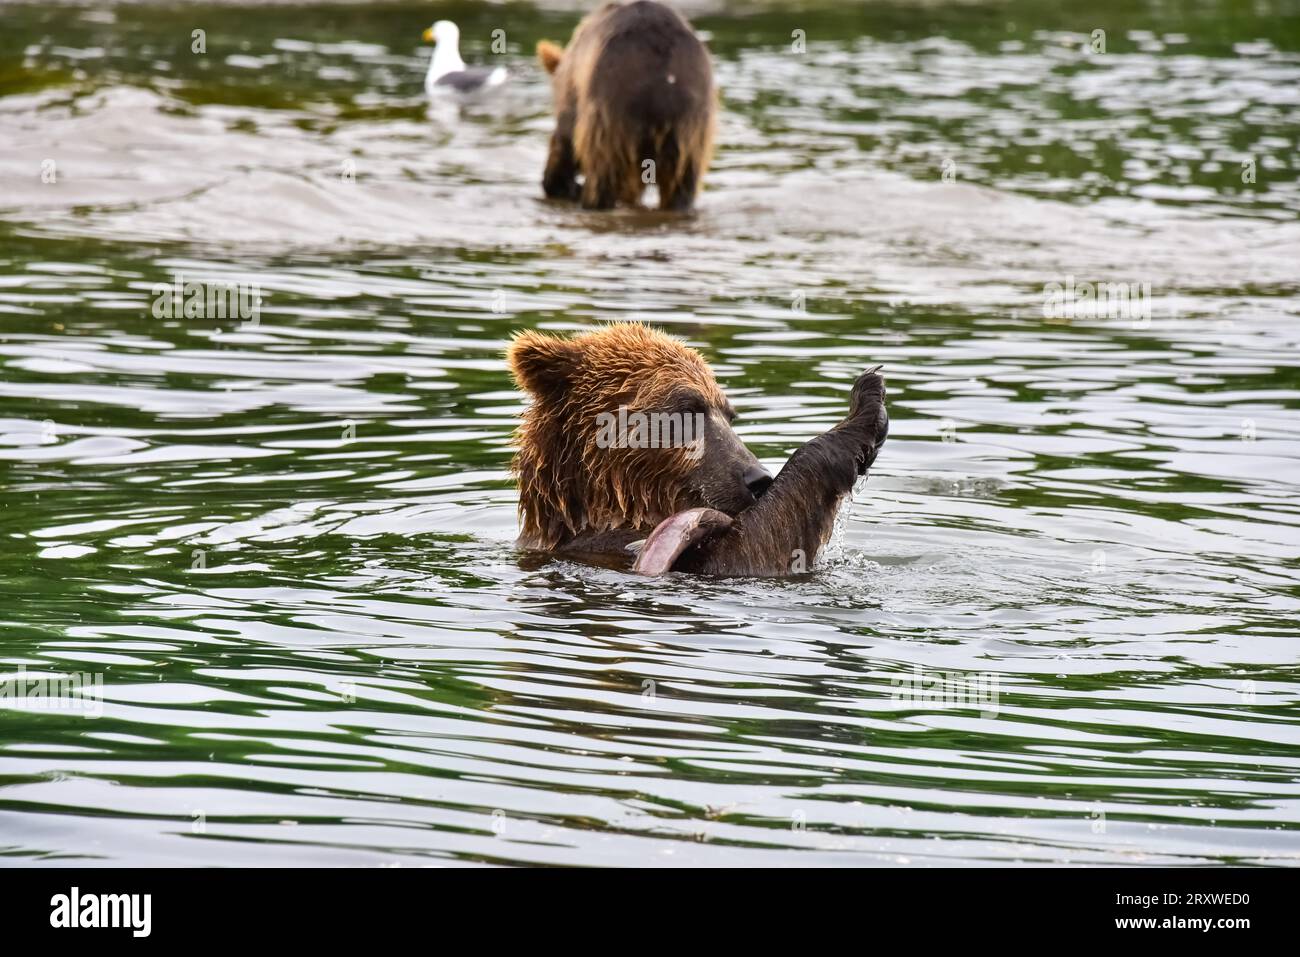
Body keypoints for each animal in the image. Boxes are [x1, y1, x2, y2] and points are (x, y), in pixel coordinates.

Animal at [506, 323, 888, 576]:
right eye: (689, 407)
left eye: (728, 413)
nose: (758, 478)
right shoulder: (611, 548)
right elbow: (756, 549)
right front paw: (867, 403)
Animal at [536, 1, 716, 211]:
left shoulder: (575, 88)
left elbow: (565, 140)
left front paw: (560, 185)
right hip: (690, 121)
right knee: (681, 184)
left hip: (609, 107)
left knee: (601, 171)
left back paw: (591, 200)